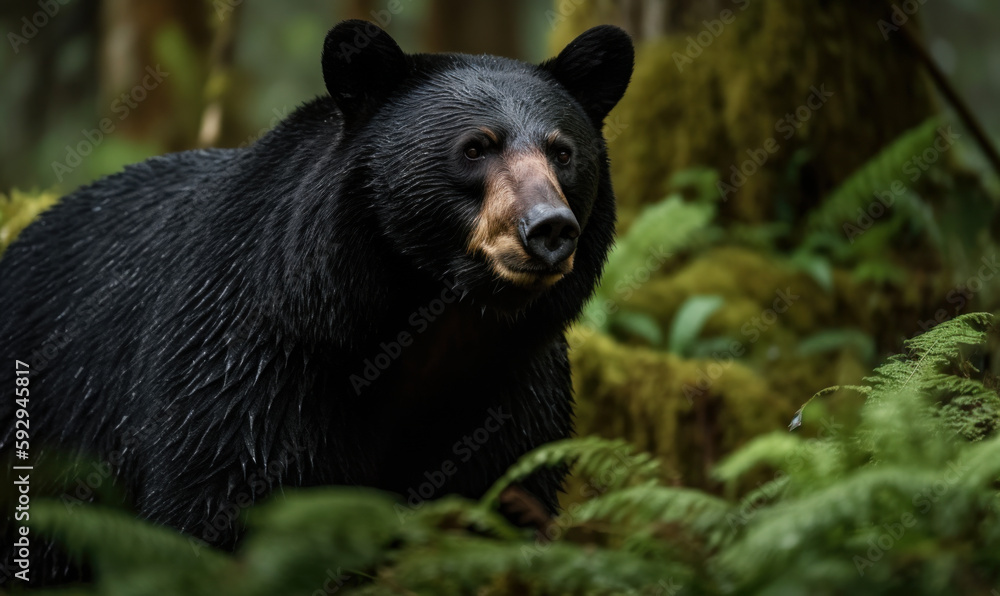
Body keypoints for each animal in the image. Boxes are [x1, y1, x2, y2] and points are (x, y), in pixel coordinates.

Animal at [0, 19, 633, 584]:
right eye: (476, 147)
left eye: (563, 152)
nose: (549, 229)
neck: (426, 317)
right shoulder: (253, 363)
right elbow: (221, 502)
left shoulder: (515, 384)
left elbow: (506, 498)